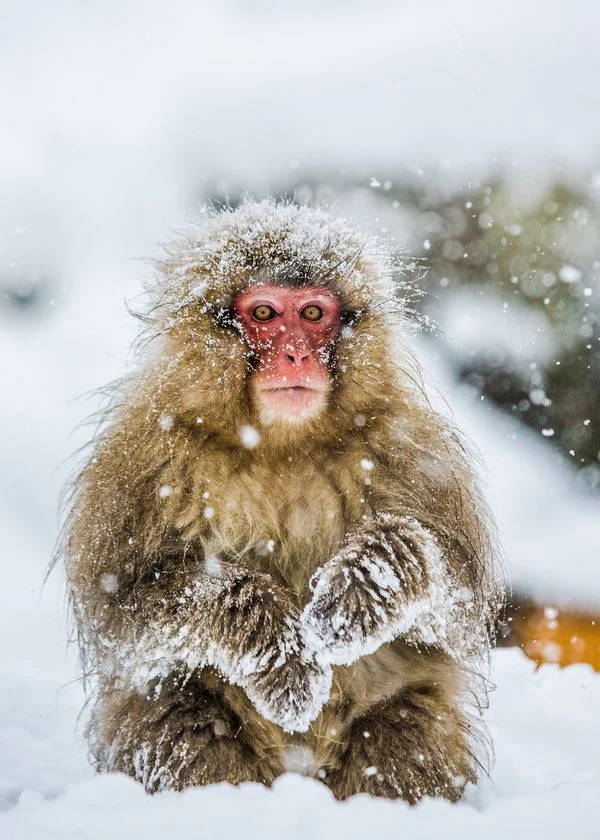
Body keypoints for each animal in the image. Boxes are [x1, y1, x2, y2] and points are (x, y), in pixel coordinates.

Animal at [62, 200, 502, 804]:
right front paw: (274, 644)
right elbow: (125, 606)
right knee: (177, 719)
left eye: (313, 313)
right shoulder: (142, 459)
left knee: (406, 731)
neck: (280, 447)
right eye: (265, 313)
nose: (294, 355)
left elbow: (453, 600)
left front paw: (368, 583)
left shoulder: (412, 448)